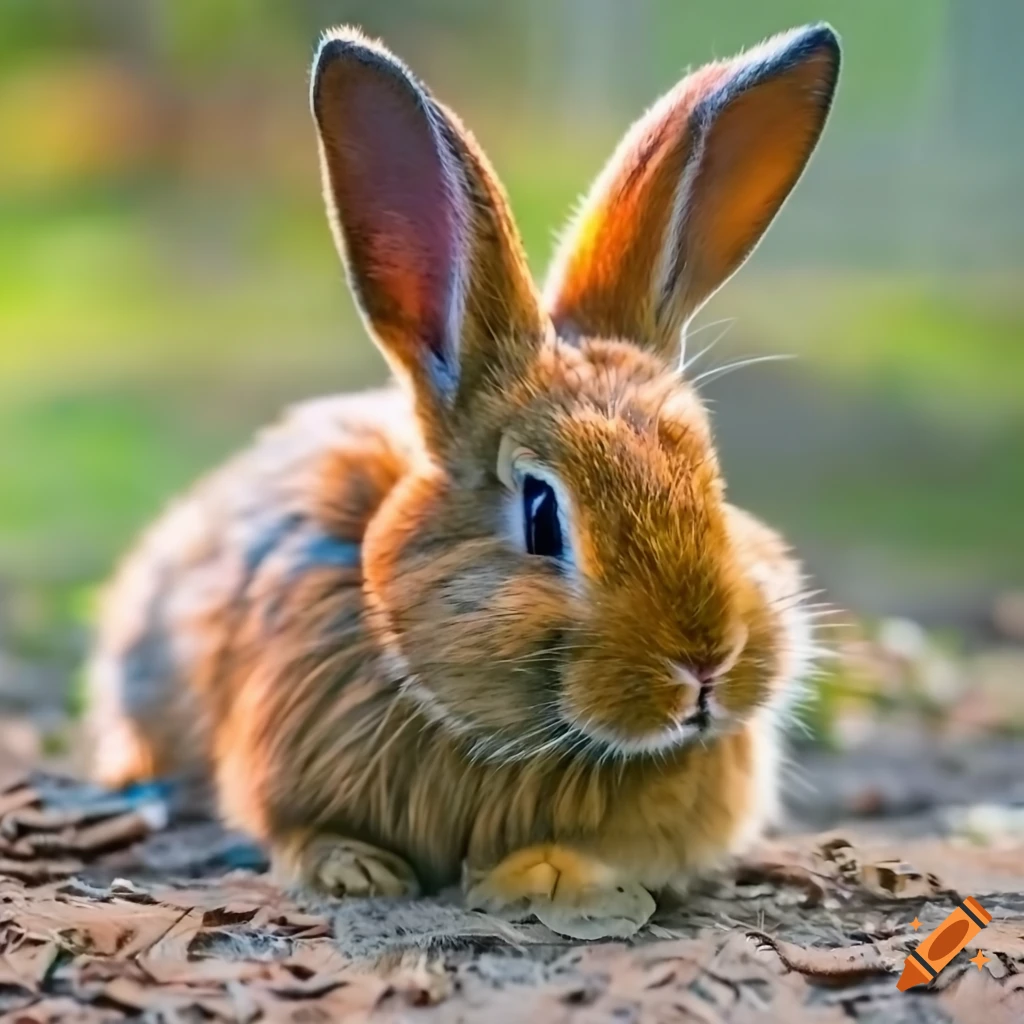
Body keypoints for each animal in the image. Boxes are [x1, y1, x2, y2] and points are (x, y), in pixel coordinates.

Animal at [86, 22, 840, 936]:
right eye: (542, 512)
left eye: (713, 484)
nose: (703, 664)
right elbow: (297, 832)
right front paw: (358, 871)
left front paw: (542, 874)